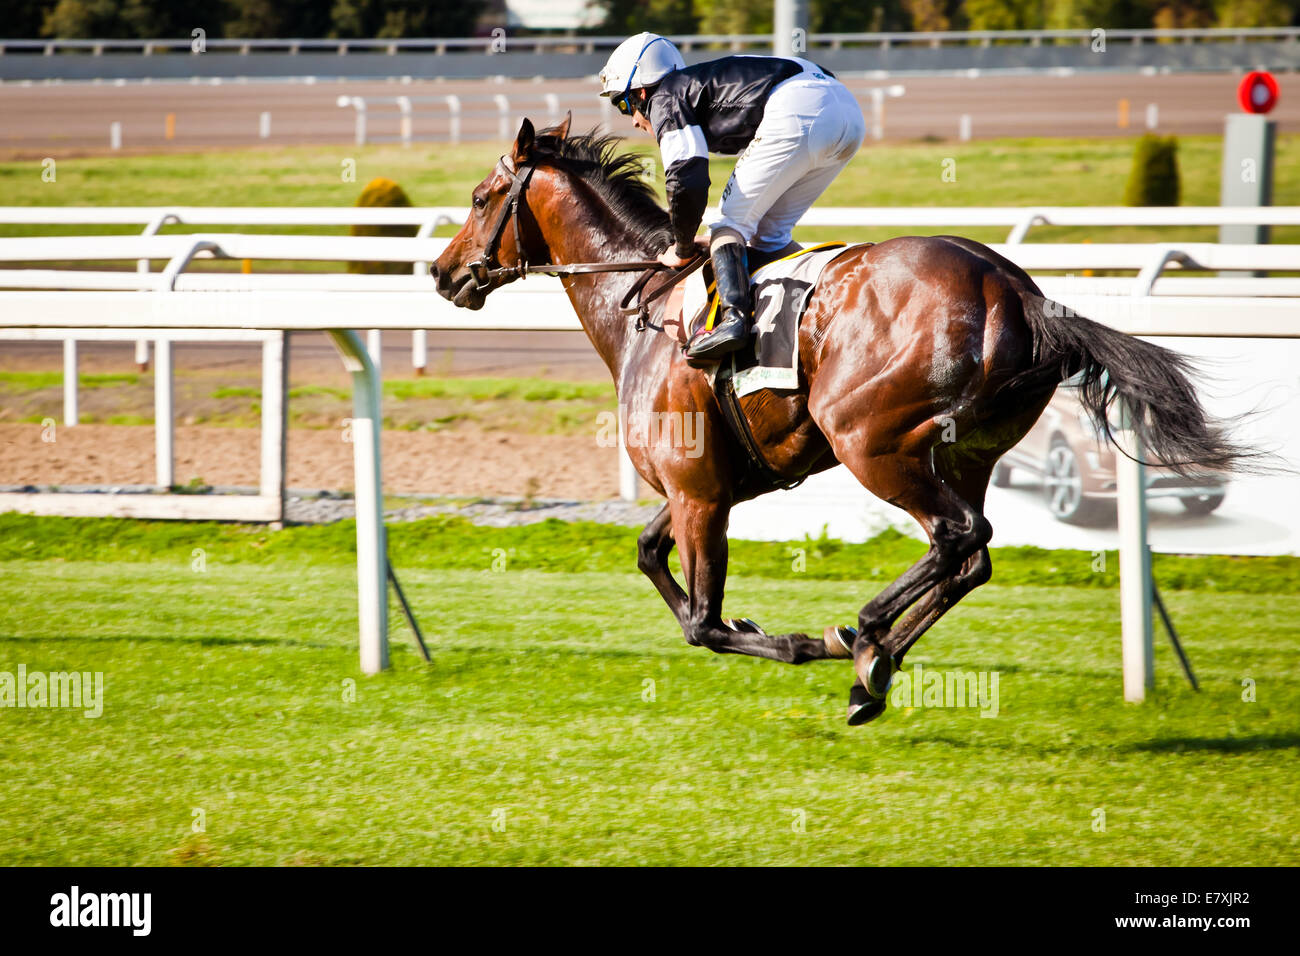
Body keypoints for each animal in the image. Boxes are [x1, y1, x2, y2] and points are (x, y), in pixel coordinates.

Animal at [432, 115, 1248, 726]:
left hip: (871, 442)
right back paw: (873, 667)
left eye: (479, 197)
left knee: (957, 537)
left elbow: (704, 623)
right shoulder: (709, 486)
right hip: (967, 453)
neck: (645, 304)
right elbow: (647, 554)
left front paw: (797, 639)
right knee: (972, 554)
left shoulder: (698, 492)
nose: (441, 274)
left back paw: (862, 636)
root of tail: (1014, 290)